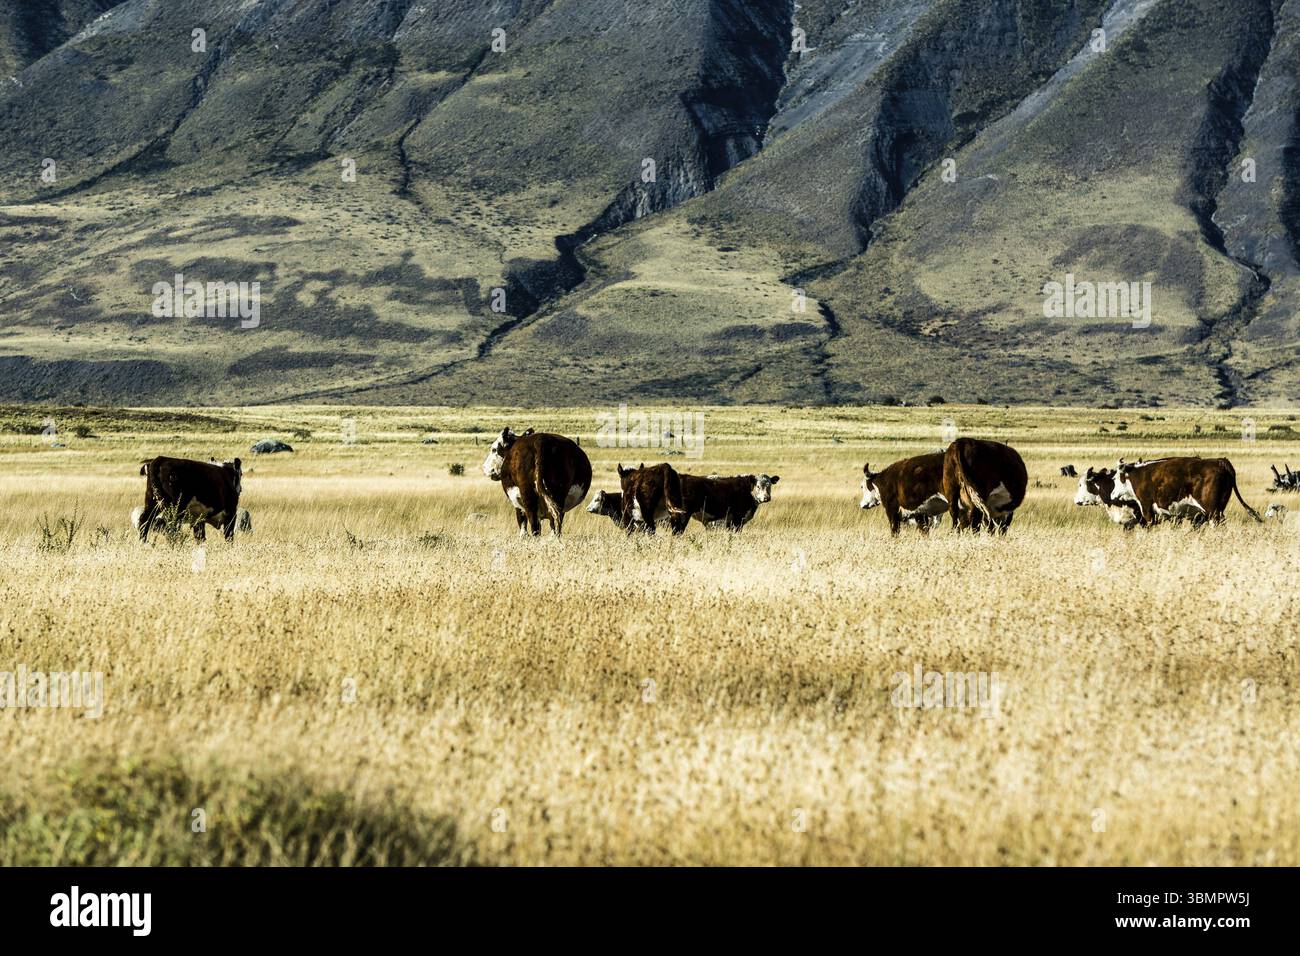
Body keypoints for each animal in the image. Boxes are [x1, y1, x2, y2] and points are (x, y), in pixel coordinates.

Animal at [1109, 457, 1262, 527]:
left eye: (1115, 478)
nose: (1111, 495)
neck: (1139, 475)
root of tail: (1220, 461)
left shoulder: (1146, 507)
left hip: (1212, 511)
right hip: (1219, 508)